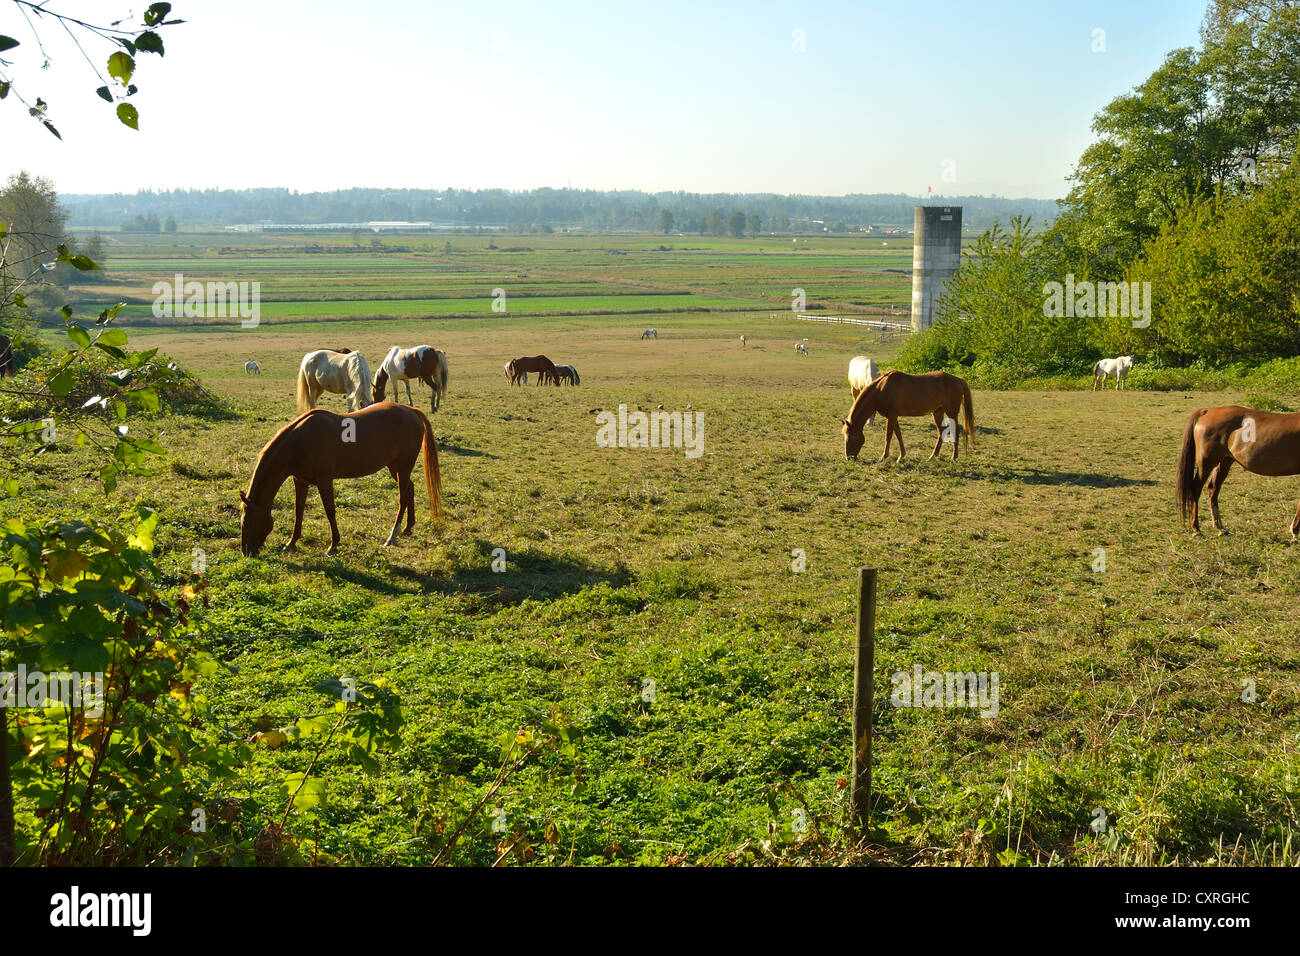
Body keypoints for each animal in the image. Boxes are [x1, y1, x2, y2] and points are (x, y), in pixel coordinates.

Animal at [239, 402, 442, 557]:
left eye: (246, 522)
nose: (247, 552)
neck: (299, 443)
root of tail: (412, 411)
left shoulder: (324, 480)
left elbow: (330, 511)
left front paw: (333, 545)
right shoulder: (301, 480)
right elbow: (299, 511)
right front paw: (291, 543)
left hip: (403, 466)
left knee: (402, 497)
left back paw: (393, 535)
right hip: (395, 468)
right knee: (410, 488)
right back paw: (408, 527)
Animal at [839, 369, 975, 462]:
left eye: (850, 438)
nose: (849, 458)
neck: (881, 390)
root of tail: (958, 379)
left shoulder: (891, 416)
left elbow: (888, 436)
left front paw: (883, 457)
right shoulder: (893, 417)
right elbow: (898, 435)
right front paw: (901, 456)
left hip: (951, 412)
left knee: (955, 431)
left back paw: (954, 457)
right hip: (937, 412)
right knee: (941, 432)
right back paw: (932, 456)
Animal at [1176, 405, 1300, 538]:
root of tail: (1209, 410)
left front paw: (1295, 530)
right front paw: (1295, 530)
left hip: (1225, 461)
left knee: (1213, 488)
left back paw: (1220, 528)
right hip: (1206, 463)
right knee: (1196, 488)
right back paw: (1196, 529)